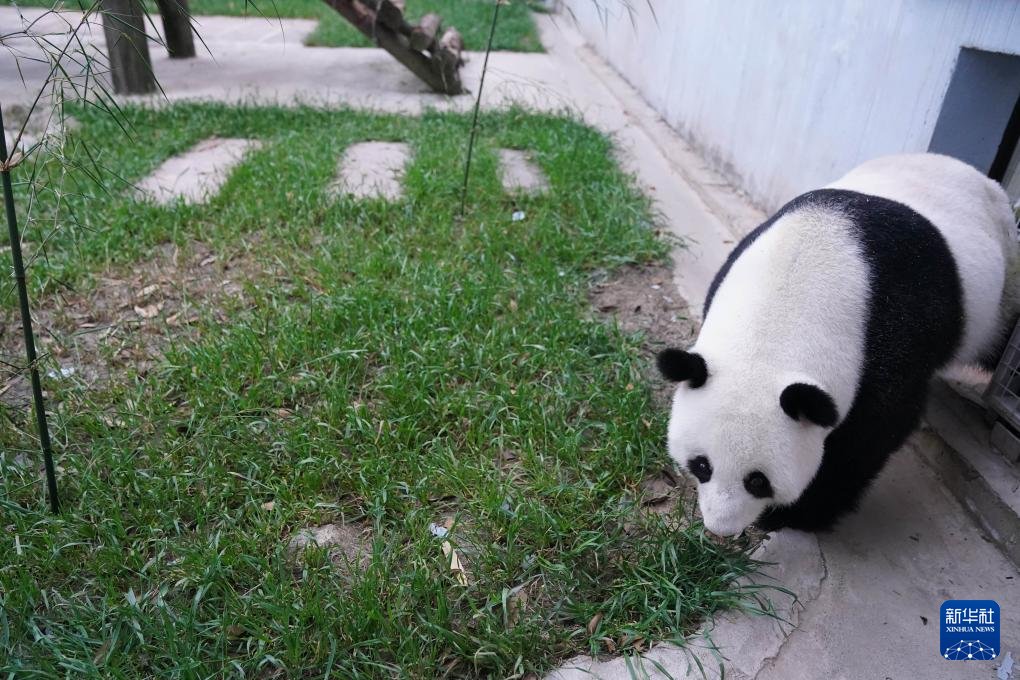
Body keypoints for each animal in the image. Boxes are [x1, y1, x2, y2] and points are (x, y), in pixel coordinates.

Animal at [658, 153, 1018, 536]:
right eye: (702, 466)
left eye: (757, 481)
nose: (721, 528)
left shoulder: (892, 329)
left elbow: (868, 436)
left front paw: (795, 514)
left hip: (1003, 283)